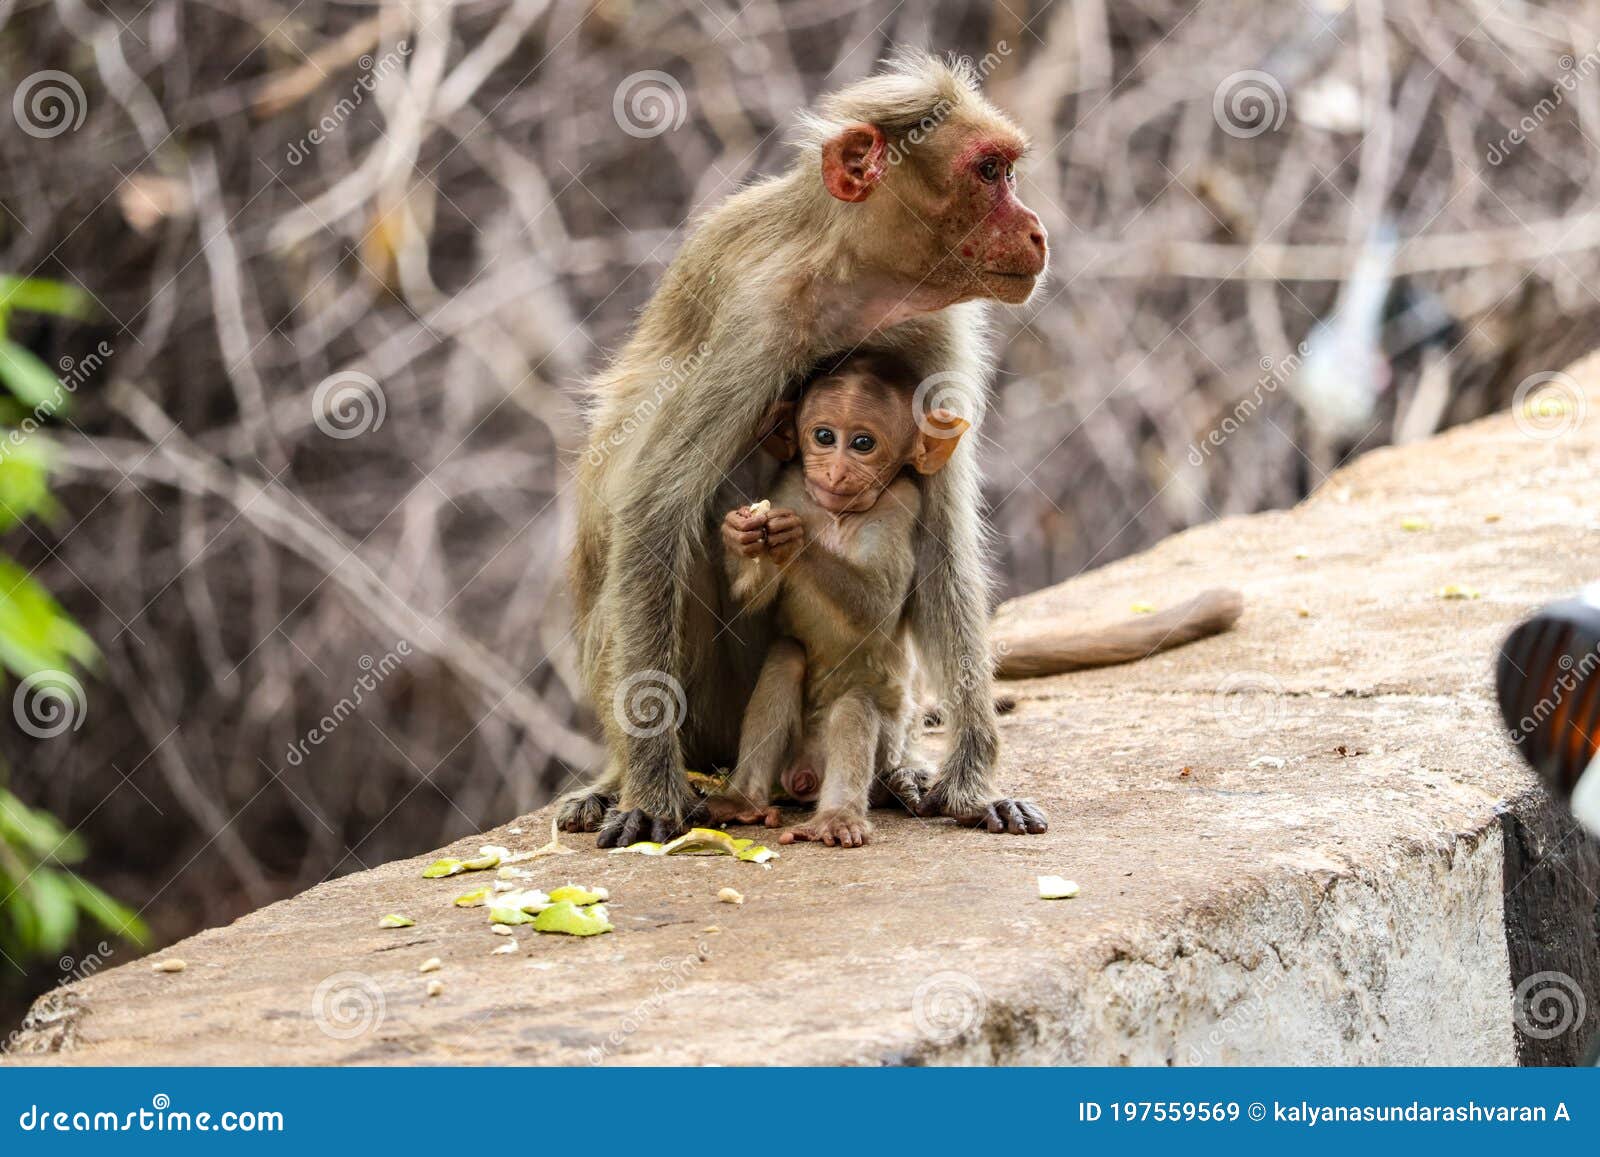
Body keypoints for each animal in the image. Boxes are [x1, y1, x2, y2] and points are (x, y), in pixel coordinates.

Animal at [708, 352, 1048, 846]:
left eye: (863, 443)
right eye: (824, 436)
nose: (835, 472)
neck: (837, 515)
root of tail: (804, 777)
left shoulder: (900, 506)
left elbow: (876, 607)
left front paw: (798, 542)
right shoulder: (791, 485)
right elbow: (758, 600)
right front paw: (742, 534)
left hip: (886, 747)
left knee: (856, 707)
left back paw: (836, 818)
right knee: (786, 657)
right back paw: (743, 802)